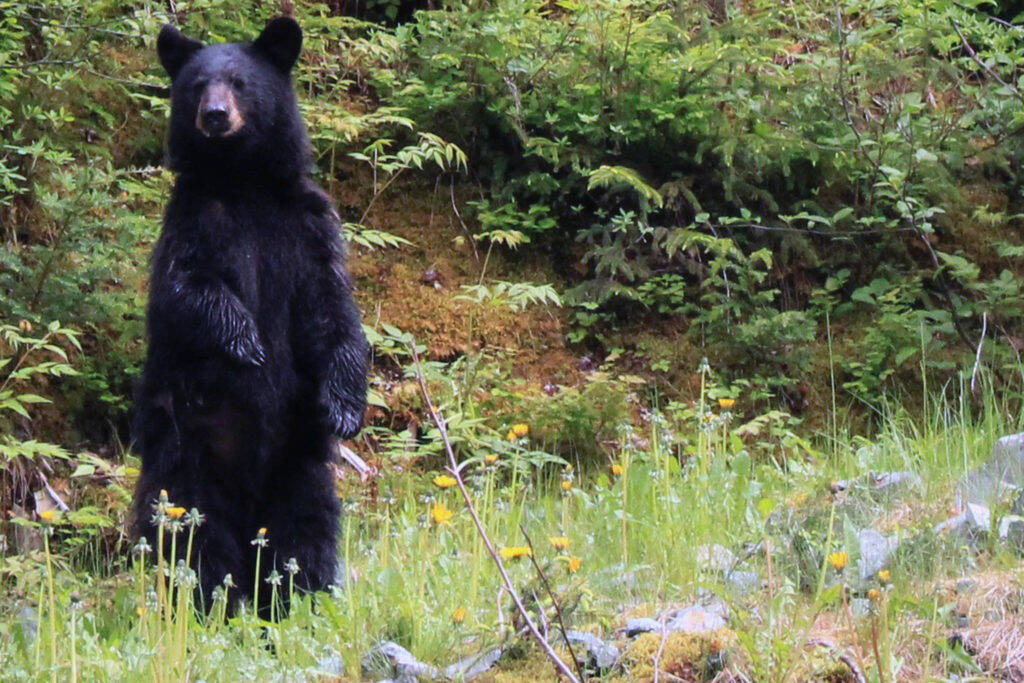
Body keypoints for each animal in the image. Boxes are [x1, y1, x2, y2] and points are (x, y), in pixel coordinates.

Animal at [130, 16, 368, 615]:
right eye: (197, 84)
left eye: (239, 82)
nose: (215, 115)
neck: (242, 180)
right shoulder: (195, 220)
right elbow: (188, 288)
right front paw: (246, 342)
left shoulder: (307, 226)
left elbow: (333, 310)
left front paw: (345, 405)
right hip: (186, 453)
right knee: (193, 536)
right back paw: (206, 600)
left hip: (298, 462)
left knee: (306, 526)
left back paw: (300, 597)